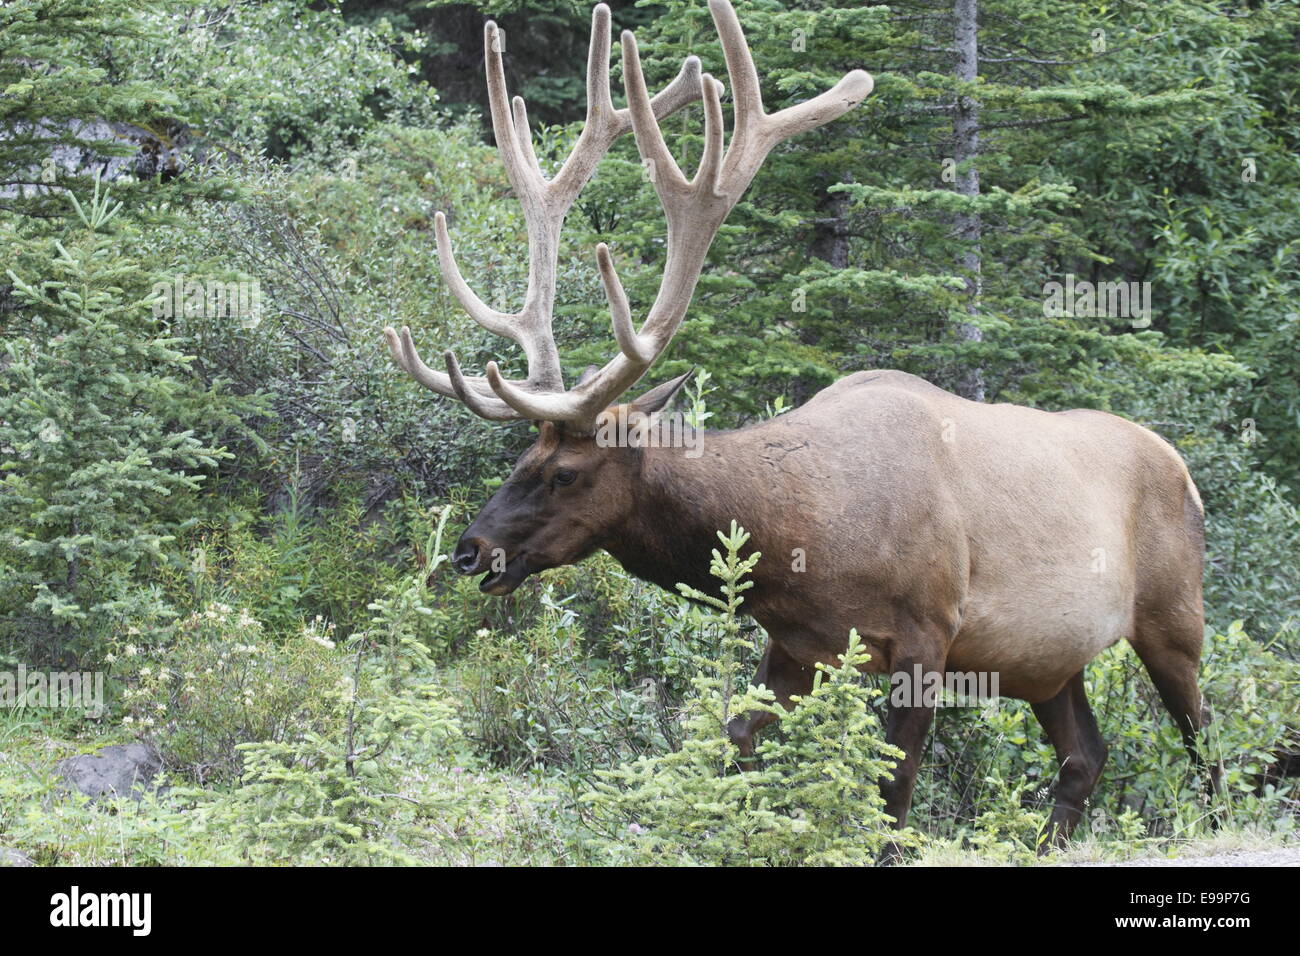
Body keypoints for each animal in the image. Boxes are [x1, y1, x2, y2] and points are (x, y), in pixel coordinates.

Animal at [383, 0, 1219, 854]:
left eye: (563, 472)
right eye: (521, 455)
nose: (469, 548)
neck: (795, 541)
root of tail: (1184, 470)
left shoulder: (928, 631)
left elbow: (893, 789)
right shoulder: (795, 646)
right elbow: (735, 747)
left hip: (1173, 614)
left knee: (1206, 742)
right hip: (1047, 661)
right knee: (1086, 754)